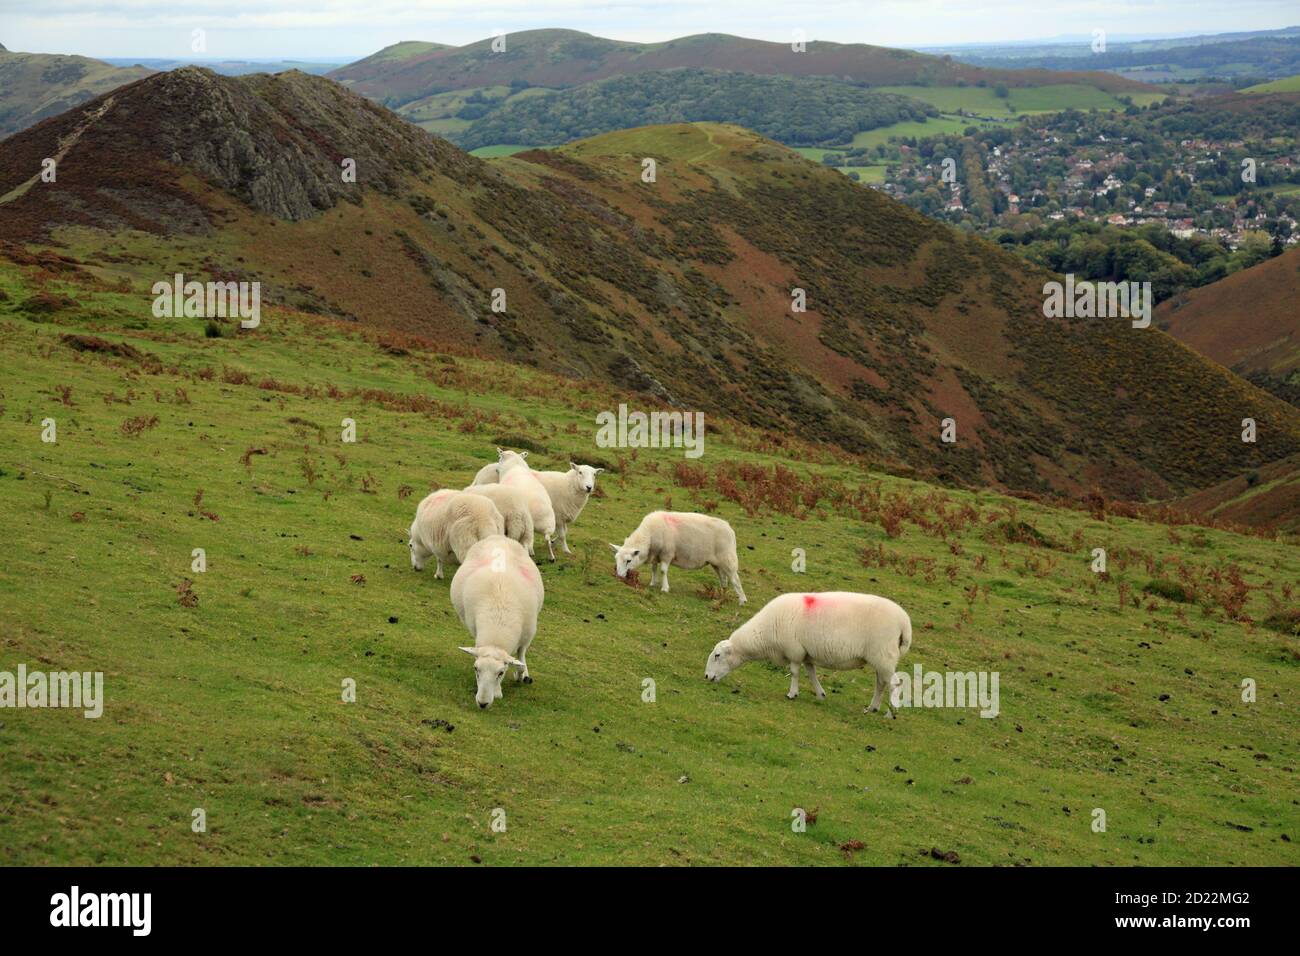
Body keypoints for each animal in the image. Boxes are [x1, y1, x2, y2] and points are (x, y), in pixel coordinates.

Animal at [450, 535, 545, 708]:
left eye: (501, 673)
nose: (482, 703)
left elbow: (521, 657)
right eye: (476, 669)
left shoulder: (527, 635)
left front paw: (521, 674)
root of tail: (499, 536)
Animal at [611, 511, 746, 604]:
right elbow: (653, 569)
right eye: (616, 559)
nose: (619, 576)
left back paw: (742, 600)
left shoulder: (667, 553)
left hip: (728, 558)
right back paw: (721, 597)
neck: (649, 536)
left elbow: (663, 571)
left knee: (735, 579)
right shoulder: (656, 555)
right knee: (724, 579)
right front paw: (653, 583)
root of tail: (730, 529)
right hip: (717, 563)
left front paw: (665, 588)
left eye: (628, 560)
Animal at [705, 592, 913, 717]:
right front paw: (820, 694)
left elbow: (795, 673)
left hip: (883, 655)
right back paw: (872, 707)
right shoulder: (806, 653)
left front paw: (792, 694)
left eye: (717, 655)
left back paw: (891, 712)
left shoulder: (794, 650)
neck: (764, 634)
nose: (706, 676)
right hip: (881, 658)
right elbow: (811, 674)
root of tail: (904, 622)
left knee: (893, 683)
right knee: (881, 683)